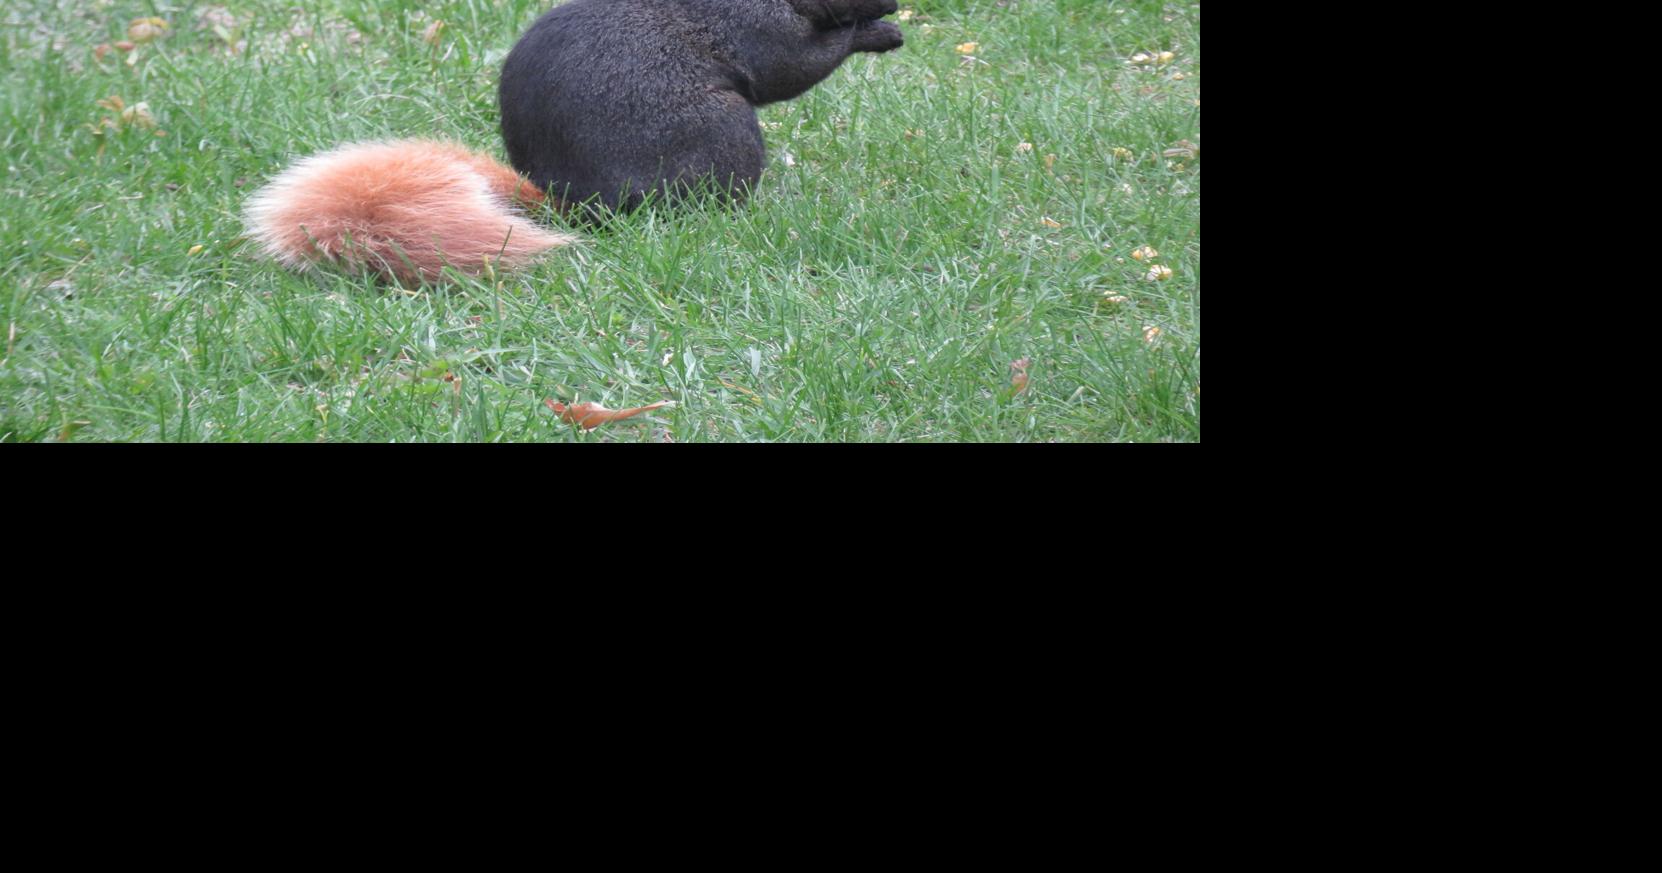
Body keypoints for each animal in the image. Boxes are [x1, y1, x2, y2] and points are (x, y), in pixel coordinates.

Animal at [244, 0, 904, 282]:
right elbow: (794, 66)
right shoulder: (759, 27)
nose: (895, 2)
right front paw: (873, 34)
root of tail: (580, 203)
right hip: (723, 137)